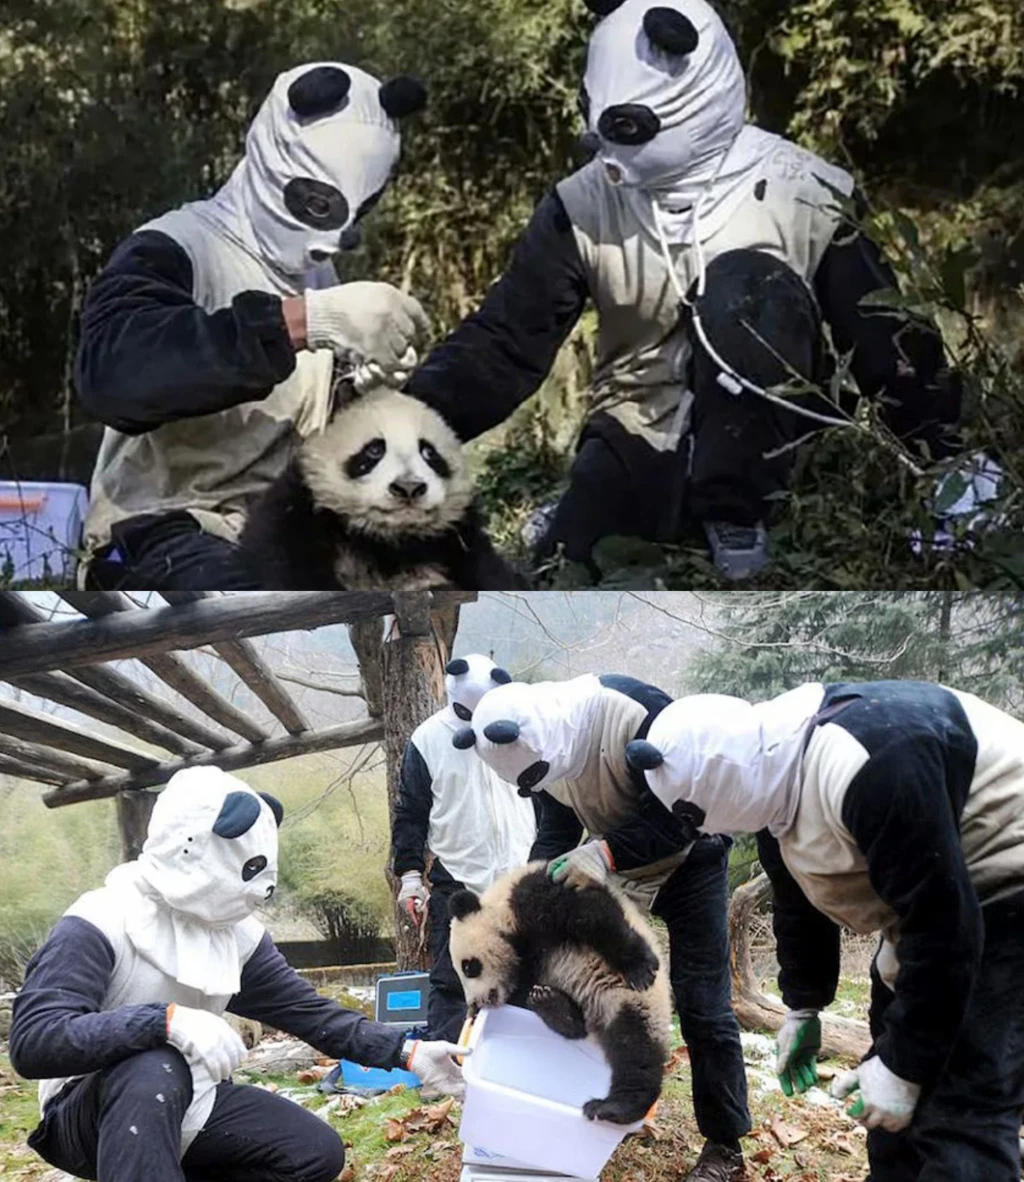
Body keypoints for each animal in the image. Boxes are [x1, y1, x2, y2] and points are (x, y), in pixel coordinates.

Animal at [238, 385, 525, 589]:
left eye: (429, 453)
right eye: (375, 450)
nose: (408, 487)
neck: (387, 542)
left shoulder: (459, 541)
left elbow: (492, 577)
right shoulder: (296, 517)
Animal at [448, 861, 673, 1124]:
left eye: (468, 967)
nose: (476, 1003)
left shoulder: (535, 893)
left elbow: (590, 916)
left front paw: (641, 967)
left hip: (633, 1001)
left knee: (636, 1050)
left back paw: (615, 1107)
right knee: (588, 1032)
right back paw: (555, 1008)